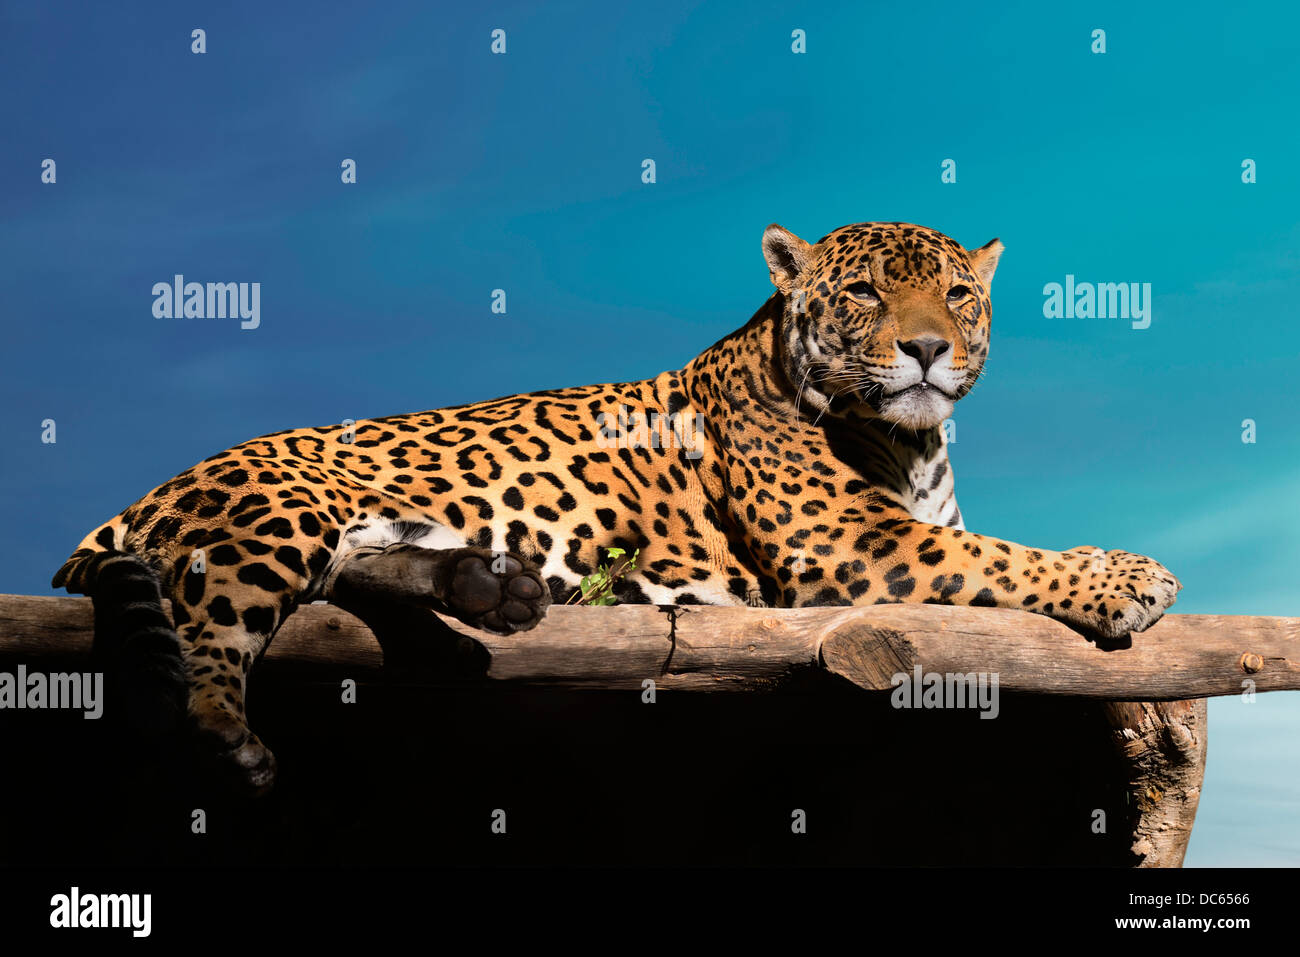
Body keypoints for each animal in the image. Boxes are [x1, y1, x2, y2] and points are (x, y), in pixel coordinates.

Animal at [54, 220, 1180, 794]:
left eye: (957, 294)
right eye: (863, 293)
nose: (927, 350)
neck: (913, 441)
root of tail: (155, 487)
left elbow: (990, 548)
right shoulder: (848, 544)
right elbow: (1008, 559)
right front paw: (1129, 576)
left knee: (358, 575)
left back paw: (492, 589)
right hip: (271, 516)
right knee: (209, 630)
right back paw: (223, 735)